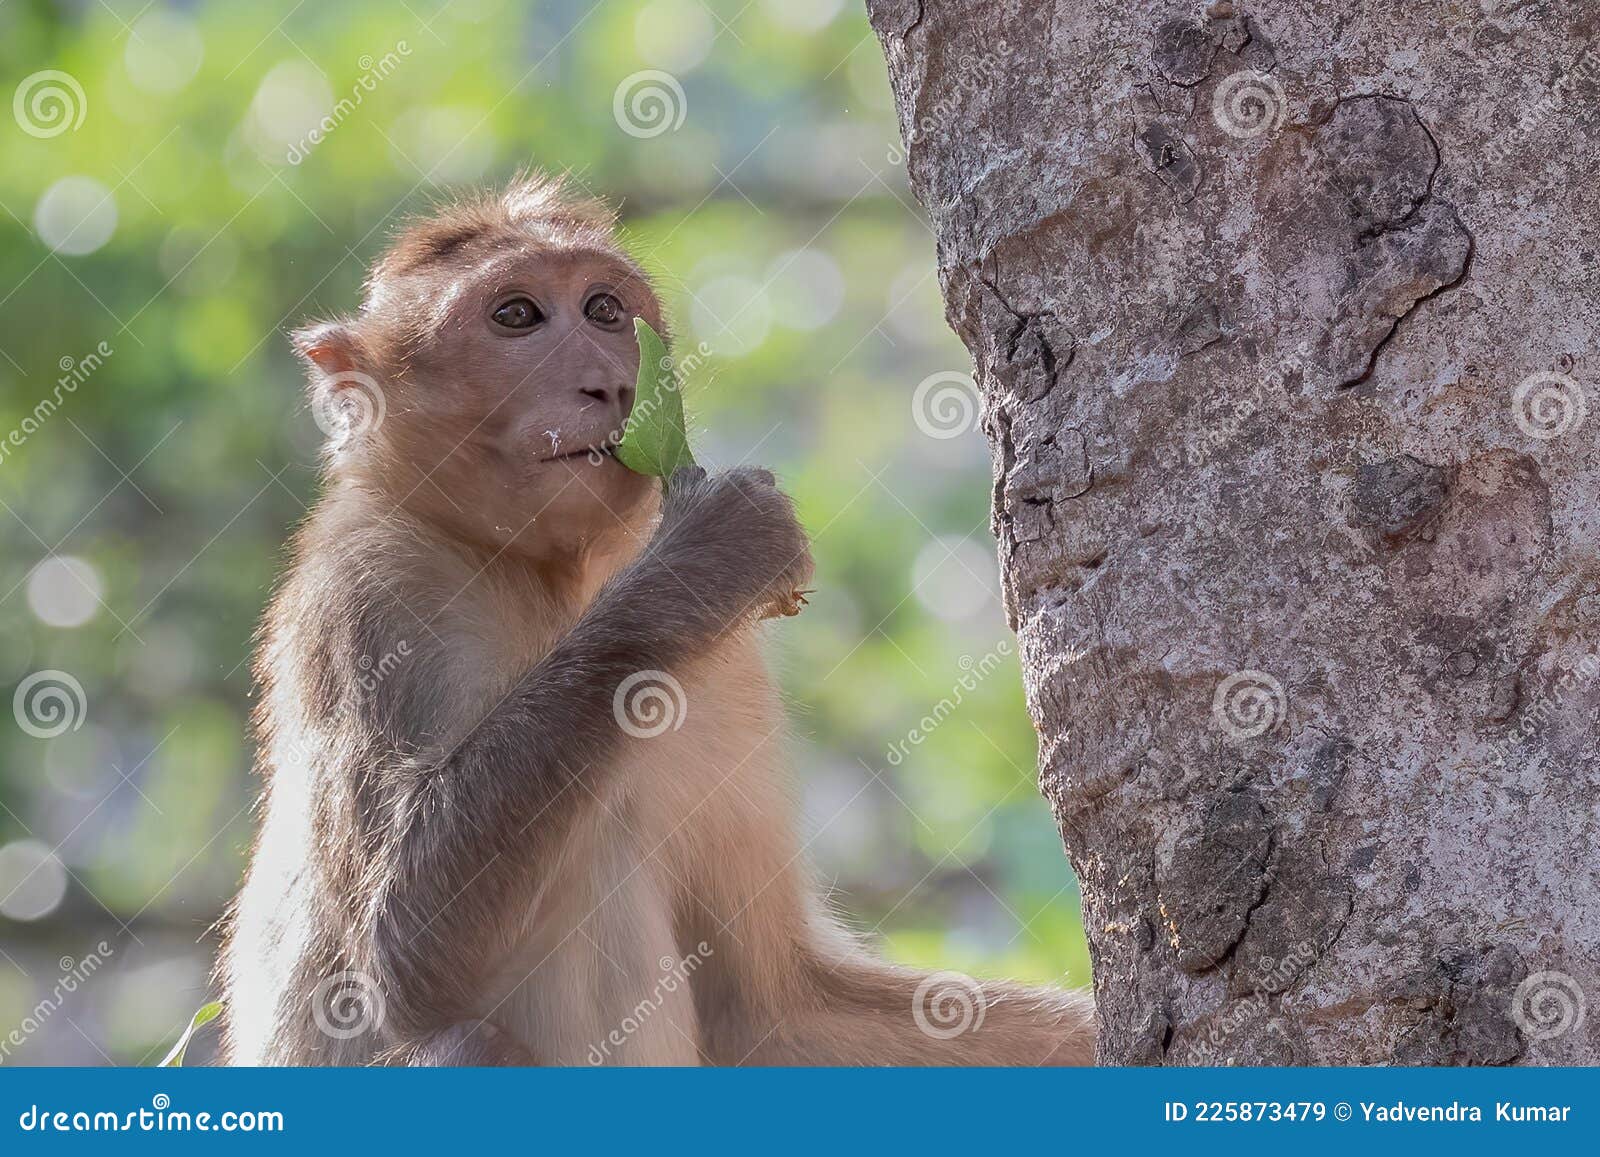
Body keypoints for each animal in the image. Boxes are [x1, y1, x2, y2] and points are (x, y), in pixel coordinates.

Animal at [217, 174, 1094, 1066]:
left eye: (604, 309)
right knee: (464, 1033)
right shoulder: (367, 596)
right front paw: (699, 559)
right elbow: (398, 952)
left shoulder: (732, 668)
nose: (607, 381)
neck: (548, 579)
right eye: (516, 315)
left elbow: (770, 1007)